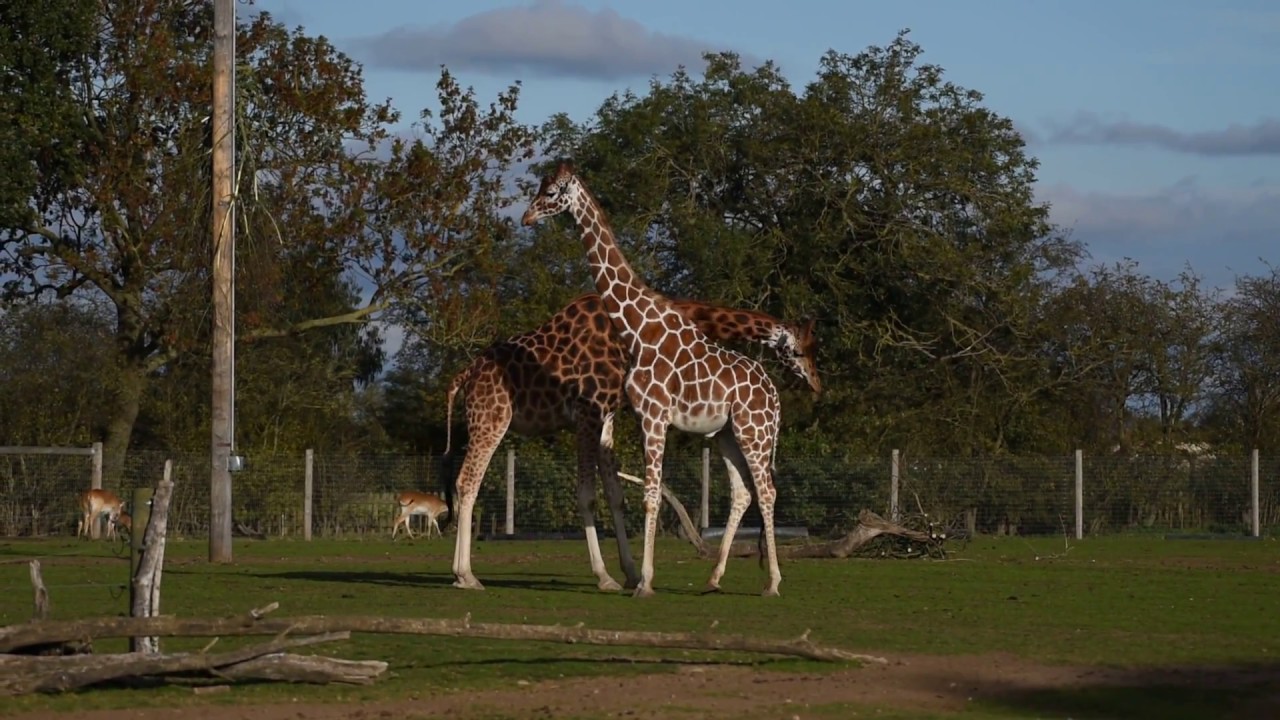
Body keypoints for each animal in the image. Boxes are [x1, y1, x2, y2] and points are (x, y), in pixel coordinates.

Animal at [446, 293, 820, 591]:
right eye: (798, 351)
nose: (816, 383)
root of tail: (465, 376)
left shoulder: (607, 415)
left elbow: (615, 495)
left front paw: (629, 572)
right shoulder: (588, 412)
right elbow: (587, 496)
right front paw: (605, 576)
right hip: (491, 419)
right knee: (467, 481)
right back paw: (466, 575)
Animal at [521, 161, 787, 597]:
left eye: (554, 192)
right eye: (540, 187)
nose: (527, 216)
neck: (635, 329)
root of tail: (776, 397)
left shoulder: (654, 415)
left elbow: (650, 496)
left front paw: (644, 582)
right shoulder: (647, 416)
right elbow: (647, 494)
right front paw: (643, 578)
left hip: (755, 432)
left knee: (767, 491)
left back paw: (773, 583)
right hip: (727, 435)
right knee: (743, 493)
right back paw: (713, 578)